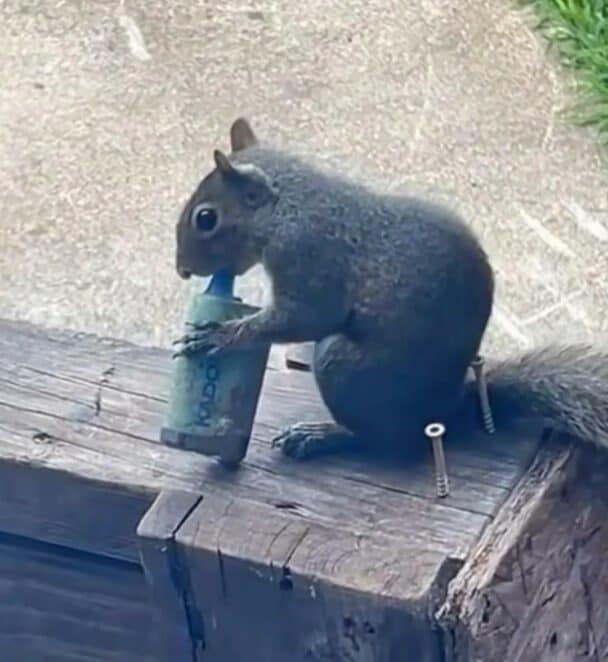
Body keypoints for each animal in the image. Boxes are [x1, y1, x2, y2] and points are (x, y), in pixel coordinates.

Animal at [173, 117, 608, 460]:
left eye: (206, 218)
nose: (183, 270)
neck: (287, 208)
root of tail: (448, 409)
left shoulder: (310, 257)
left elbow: (307, 318)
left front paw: (220, 335)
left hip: (343, 366)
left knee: (384, 442)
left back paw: (321, 436)